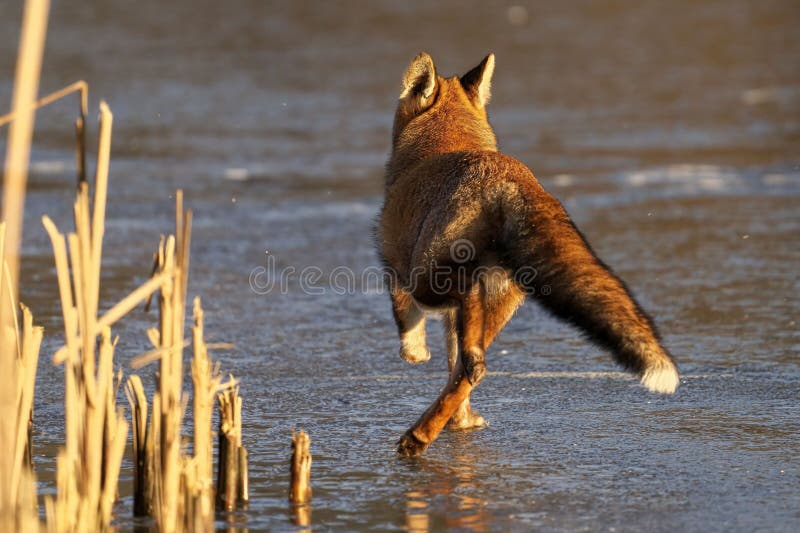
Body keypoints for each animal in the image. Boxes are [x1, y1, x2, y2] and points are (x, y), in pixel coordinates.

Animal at [376, 52, 679, 457]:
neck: (442, 141)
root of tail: (510, 179)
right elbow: (453, 367)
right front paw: (461, 421)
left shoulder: (395, 263)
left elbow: (407, 325)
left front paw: (415, 352)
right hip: (503, 300)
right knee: (468, 370)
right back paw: (425, 433)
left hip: (431, 279)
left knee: (467, 323)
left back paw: (418, 436)